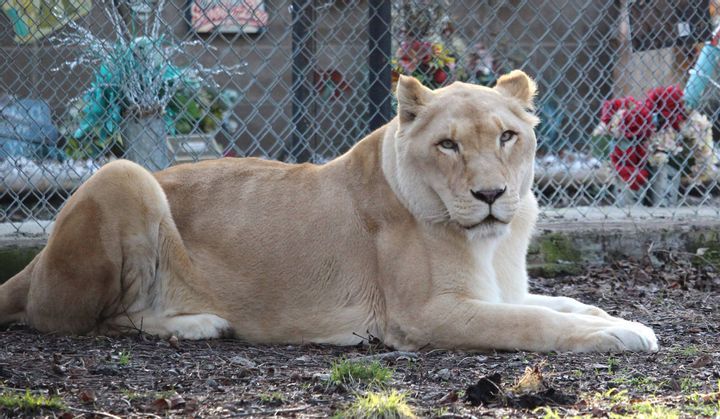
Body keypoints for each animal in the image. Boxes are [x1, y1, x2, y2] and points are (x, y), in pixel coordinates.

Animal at [0, 71, 658, 352]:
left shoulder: (501, 289)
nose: (492, 195)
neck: (494, 242)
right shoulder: (424, 315)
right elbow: (533, 322)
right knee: (89, 320)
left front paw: (614, 315)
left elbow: (558, 302)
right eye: (448, 145)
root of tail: (30, 267)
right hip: (123, 174)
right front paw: (618, 332)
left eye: (506, 137)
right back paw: (201, 323)